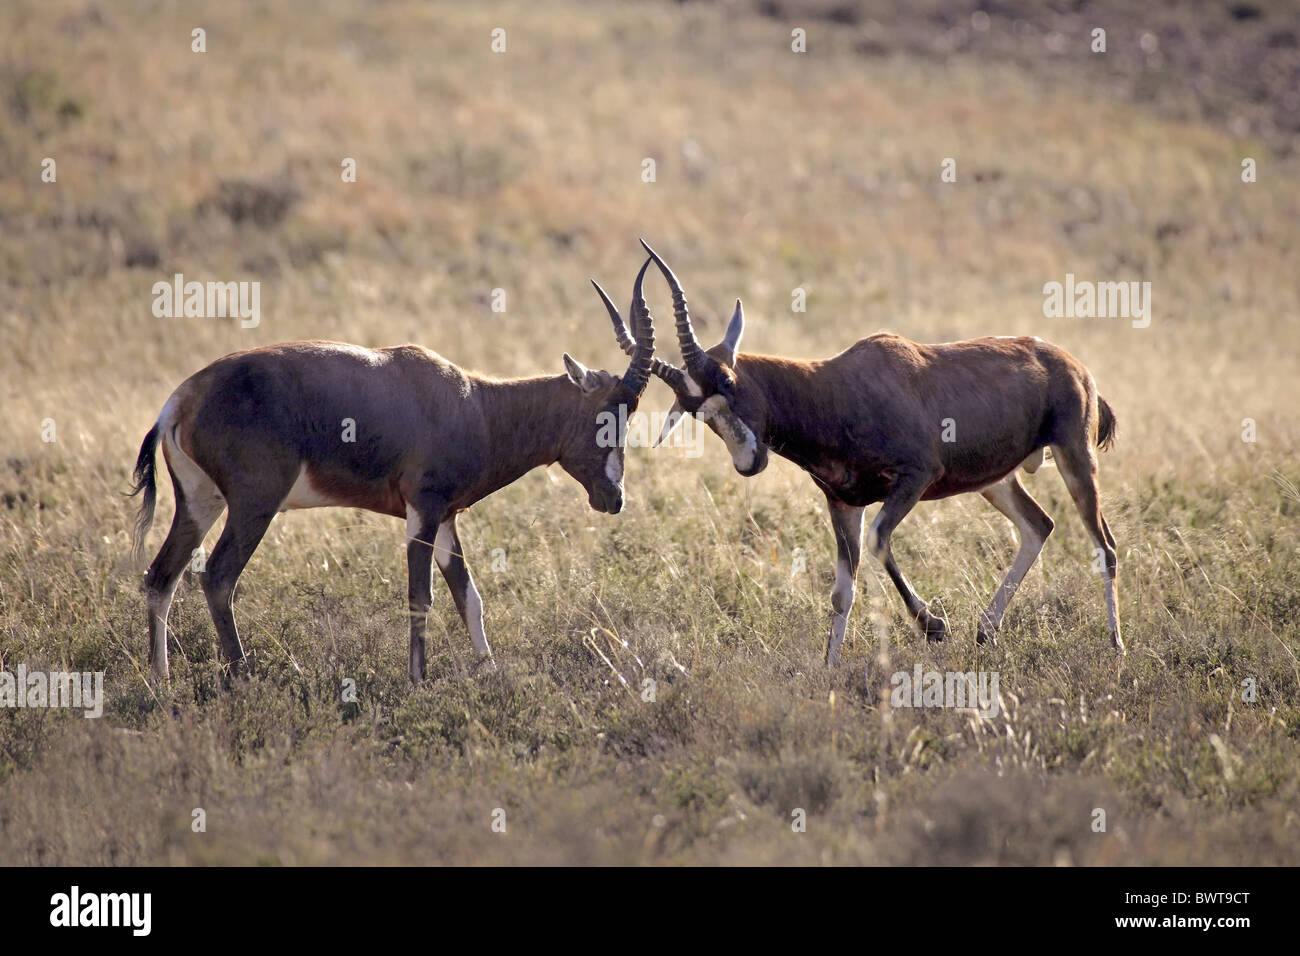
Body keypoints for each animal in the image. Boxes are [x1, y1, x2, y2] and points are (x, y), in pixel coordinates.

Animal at [129, 259, 660, 684]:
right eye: (606, 417)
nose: (614, 499)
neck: (471, 402)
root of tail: (180, 401)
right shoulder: (422, 511)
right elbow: (420, 597)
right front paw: (418, 681)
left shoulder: (446, 518)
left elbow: (469, 596)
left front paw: (490, 671)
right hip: (253, 506)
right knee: (218, 577)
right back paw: (242, 676)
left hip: (199, 503)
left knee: (161, 576)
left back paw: (162, 680)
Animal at [630, 240, 1122, 665]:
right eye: (696, 413)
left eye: (729, 381)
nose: (748, 462)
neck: (837, 387)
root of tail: (1072, 364)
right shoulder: (844, 504)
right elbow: (841, 591)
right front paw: (829, 667)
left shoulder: (915, 479)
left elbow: (879, 540)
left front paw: (935, 627)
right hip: (996, 482)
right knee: (1039, 525)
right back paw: (985, 631)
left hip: (1076, 458)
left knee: (1105, 546)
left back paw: (1116, 648)